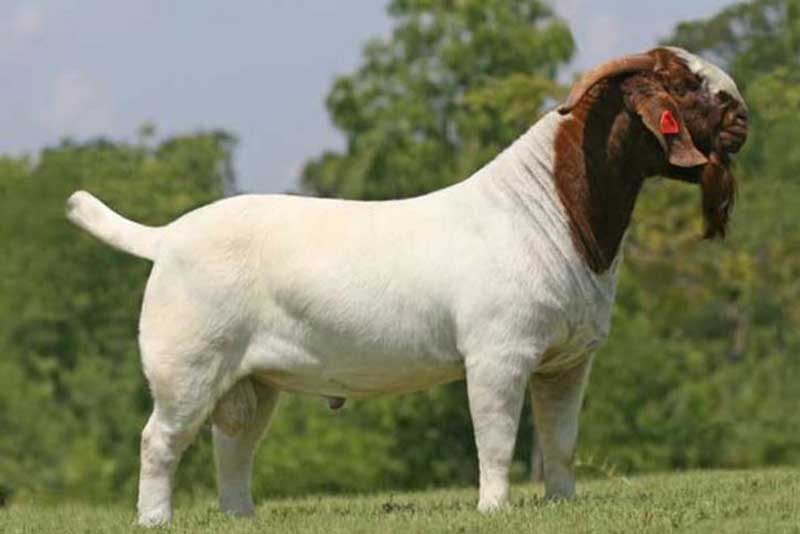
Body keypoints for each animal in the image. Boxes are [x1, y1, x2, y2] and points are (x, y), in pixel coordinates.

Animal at [66, 46, 748, 526]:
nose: (742, 116)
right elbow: (496, 438)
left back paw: (242, 516)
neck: (549, 208)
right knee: (160, 441)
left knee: (232, 443)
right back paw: (155, 519)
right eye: (685, 83)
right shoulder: (499, 355)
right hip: (186, 364)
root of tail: (166, 236)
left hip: (250, 380)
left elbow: (561, 441)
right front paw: (494, 509)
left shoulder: (567, 361)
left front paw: (561, 505)